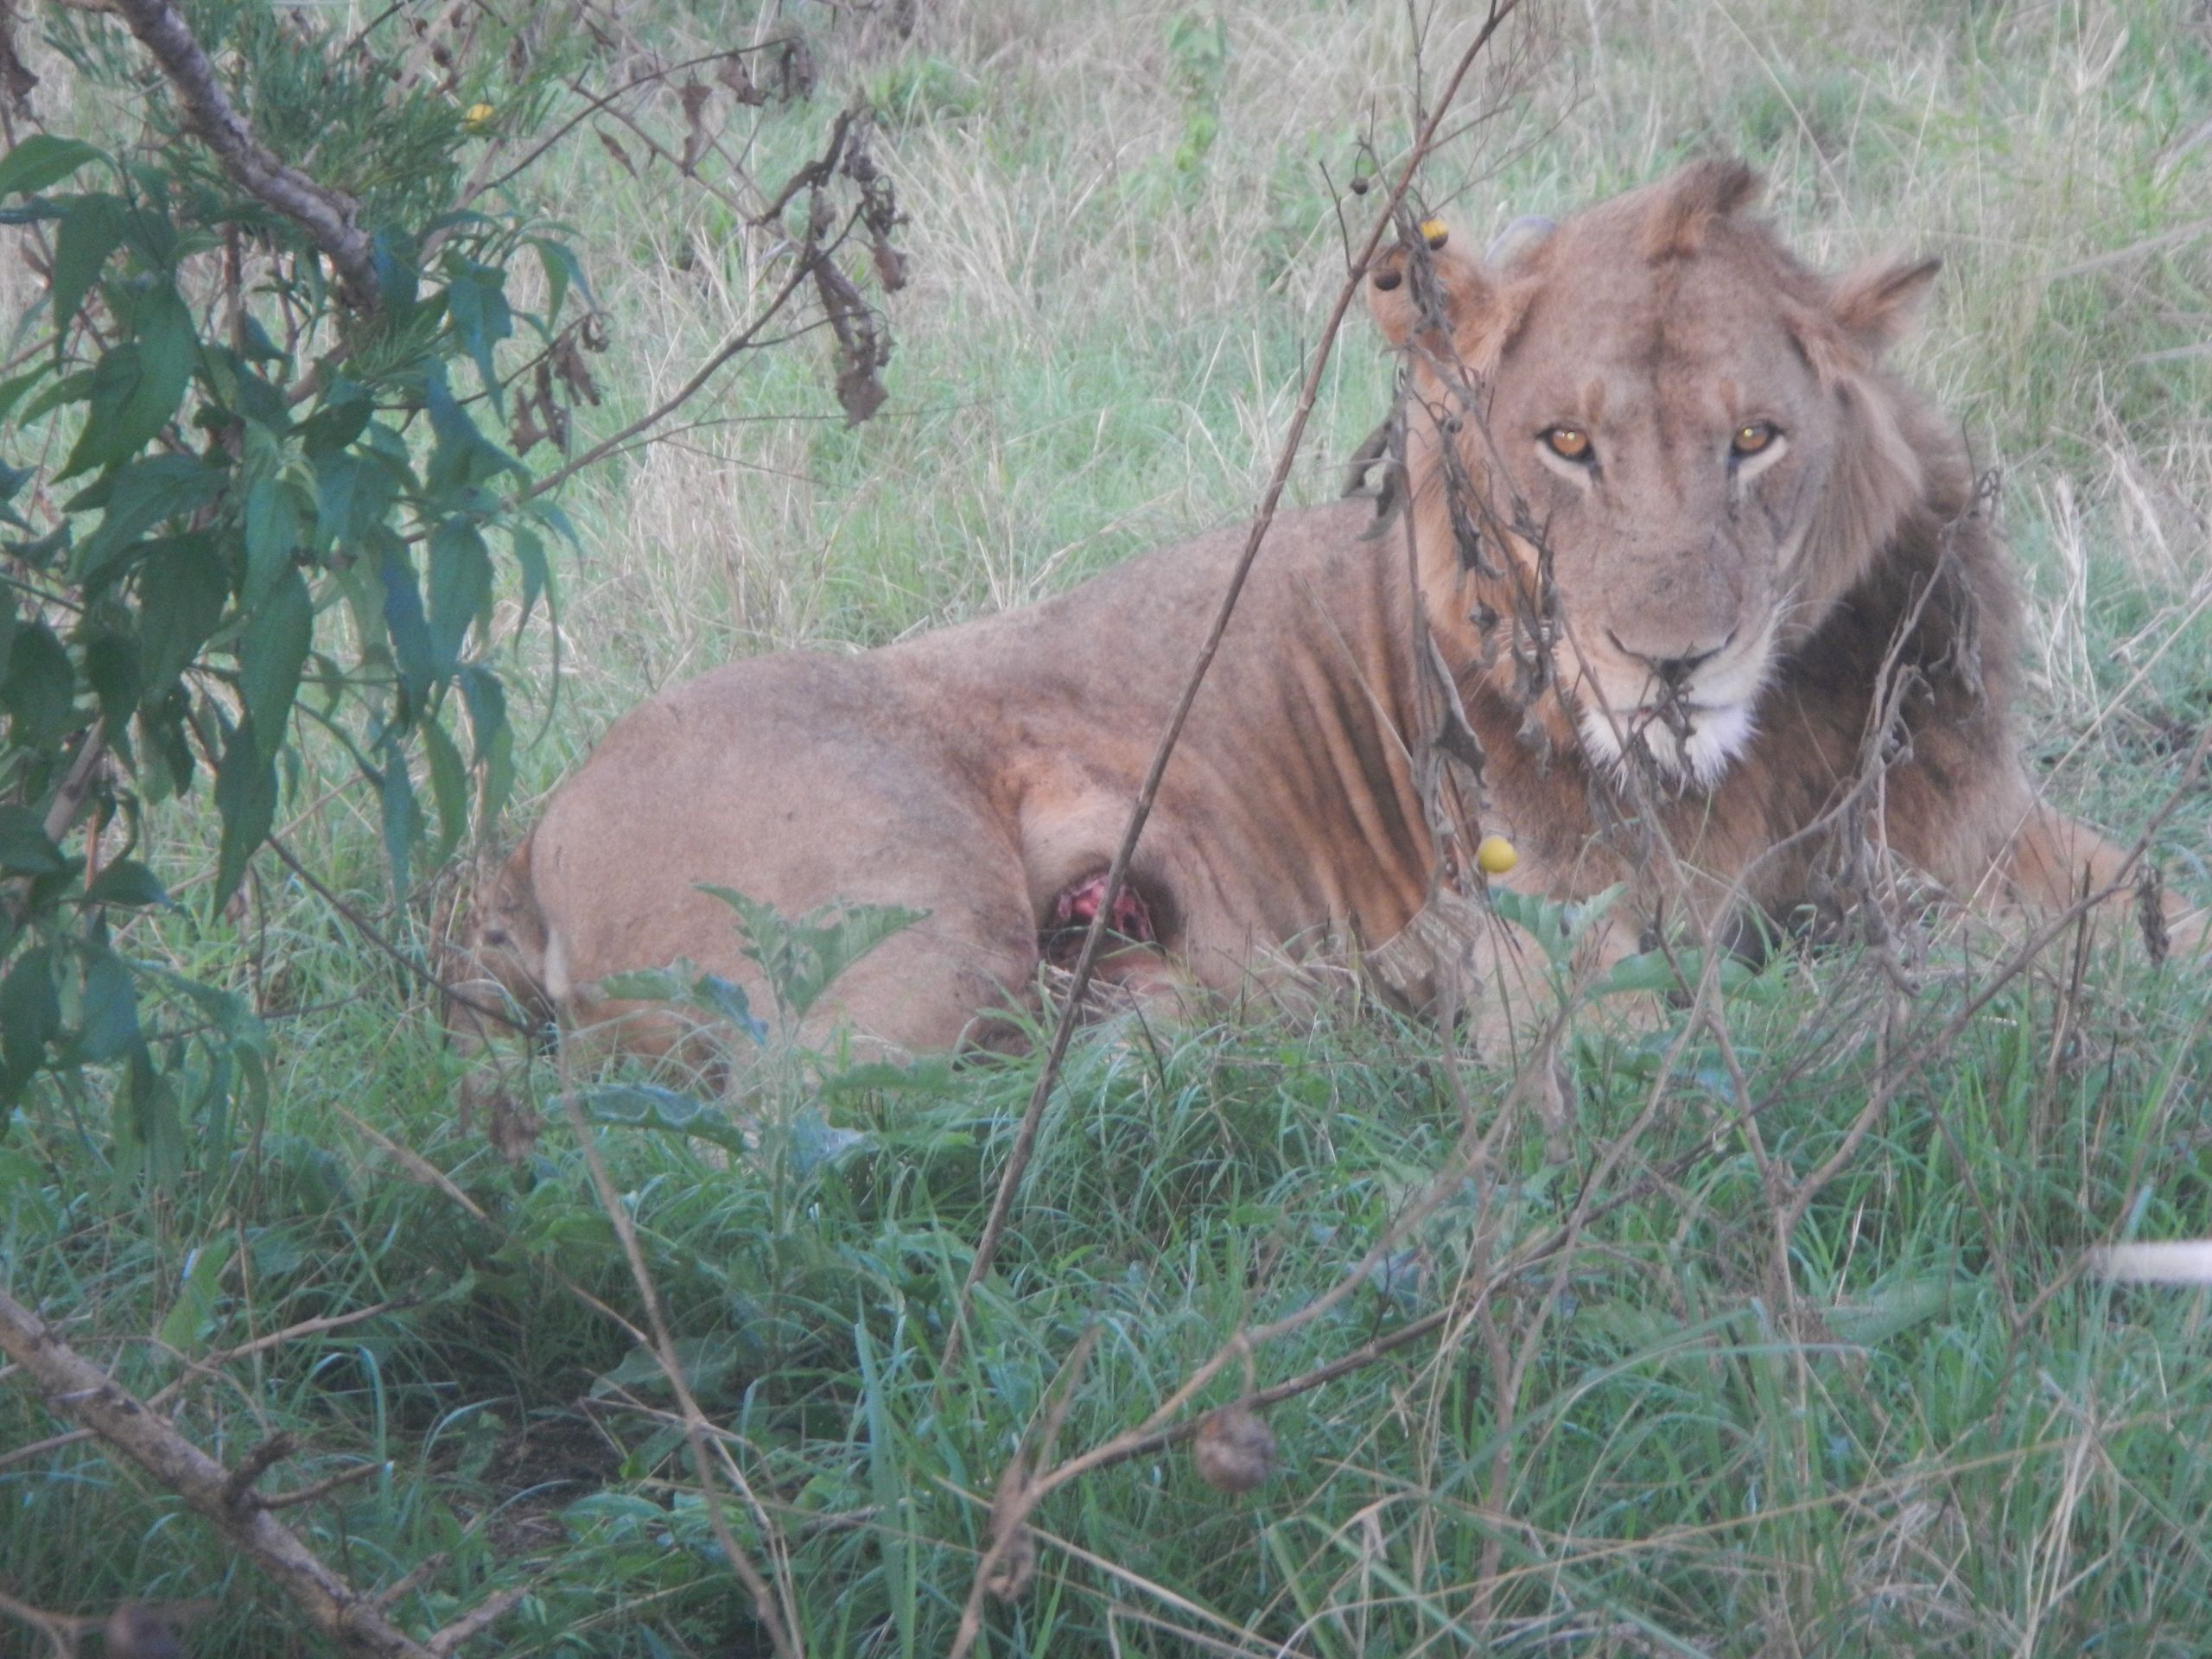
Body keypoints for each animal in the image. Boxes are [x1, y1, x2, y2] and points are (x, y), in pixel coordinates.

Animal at [461, 159, 2196, 1066]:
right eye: (1566, 446)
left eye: (1755, 440)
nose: (1670, 662)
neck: (1774, 744)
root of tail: (531, 826)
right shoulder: (1553, 945)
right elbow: (1711, 1016)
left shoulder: (1985, 830)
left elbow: (2159, 906)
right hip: (910, 929)